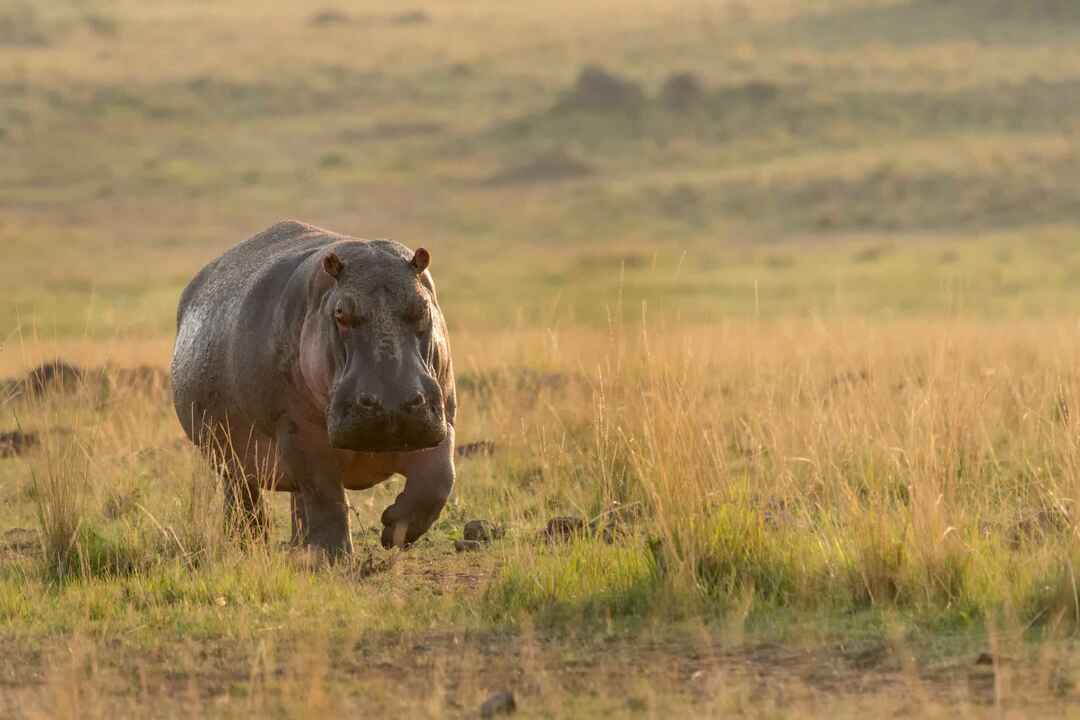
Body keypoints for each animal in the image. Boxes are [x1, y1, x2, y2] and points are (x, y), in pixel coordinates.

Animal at [169, 218, 455, 552]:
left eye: (422, 308)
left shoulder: (440, 416)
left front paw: (393, 532)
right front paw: (333, 556)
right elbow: (325, 497)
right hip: (231, 451)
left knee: (294, 501)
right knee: (244, 494)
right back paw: (249, 543)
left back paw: (298, 548)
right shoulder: (300, 432)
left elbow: (437, 478)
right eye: (340, 314)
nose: (391, 403)